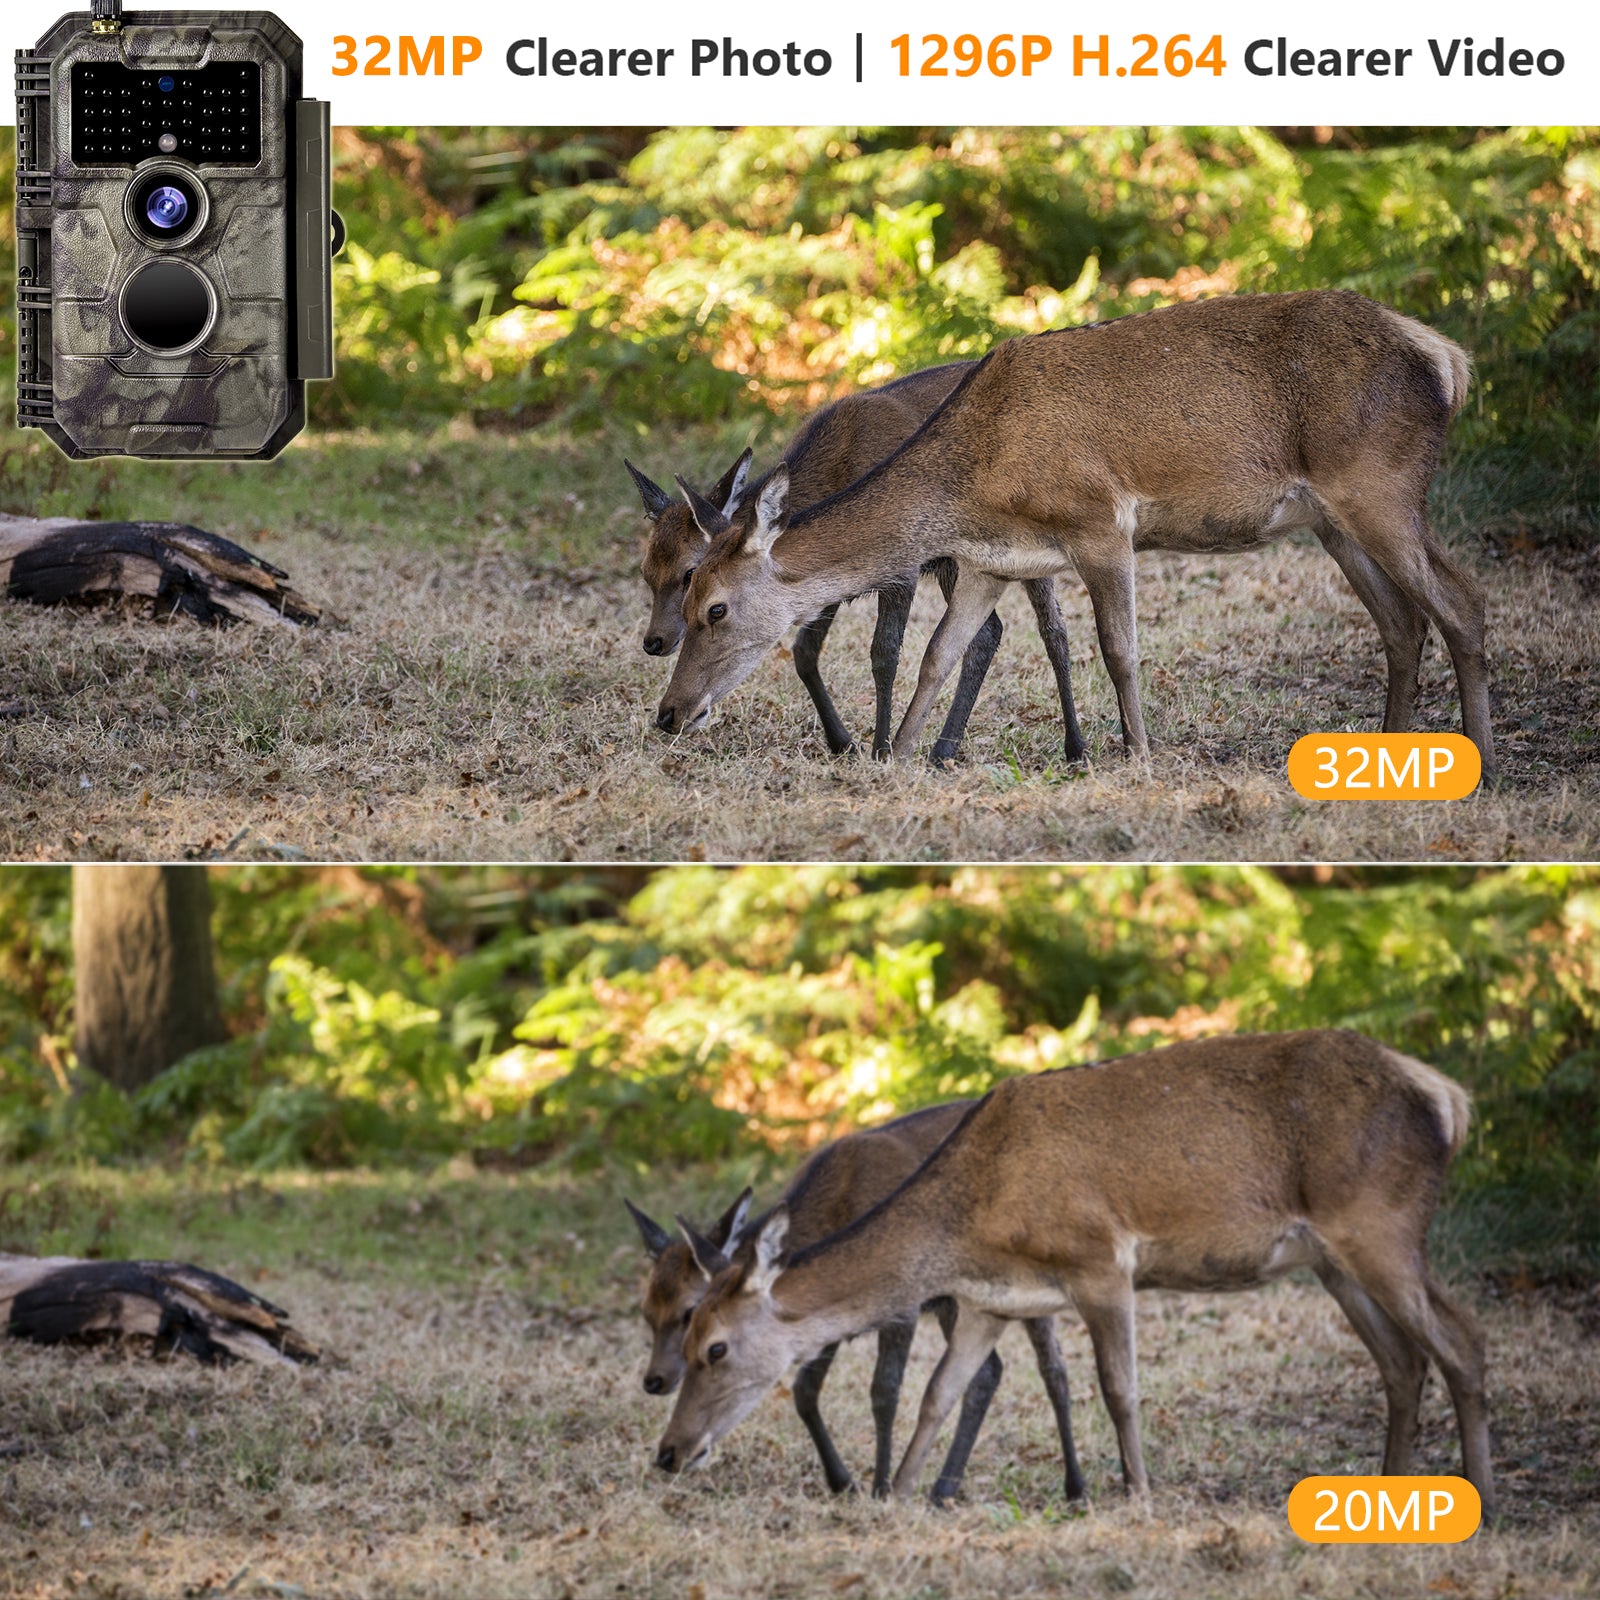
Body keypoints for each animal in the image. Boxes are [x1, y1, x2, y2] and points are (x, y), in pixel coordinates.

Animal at [624, 1099, 1085, 1504]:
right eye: (646, 1312)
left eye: (690, 1312)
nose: (654, 1380)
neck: (837, 1215)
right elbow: (805, 1389)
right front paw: (843, 1482)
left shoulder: (902, 1305)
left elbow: (884, 1391)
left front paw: (880, 1487)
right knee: (990, 1369)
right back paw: (944, 1489)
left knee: (1053, 1369)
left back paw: (1074, 1486)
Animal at [626, 360, 1087, 762]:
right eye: (646, 572)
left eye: (690, 574)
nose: (654, 642)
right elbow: (805, 650)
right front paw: (842, 742)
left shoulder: (901, 567)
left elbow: (884, 654)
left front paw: (880, 749)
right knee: (991, 630)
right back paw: (944, 750)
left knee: (1051, 631)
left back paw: (1073, 746)